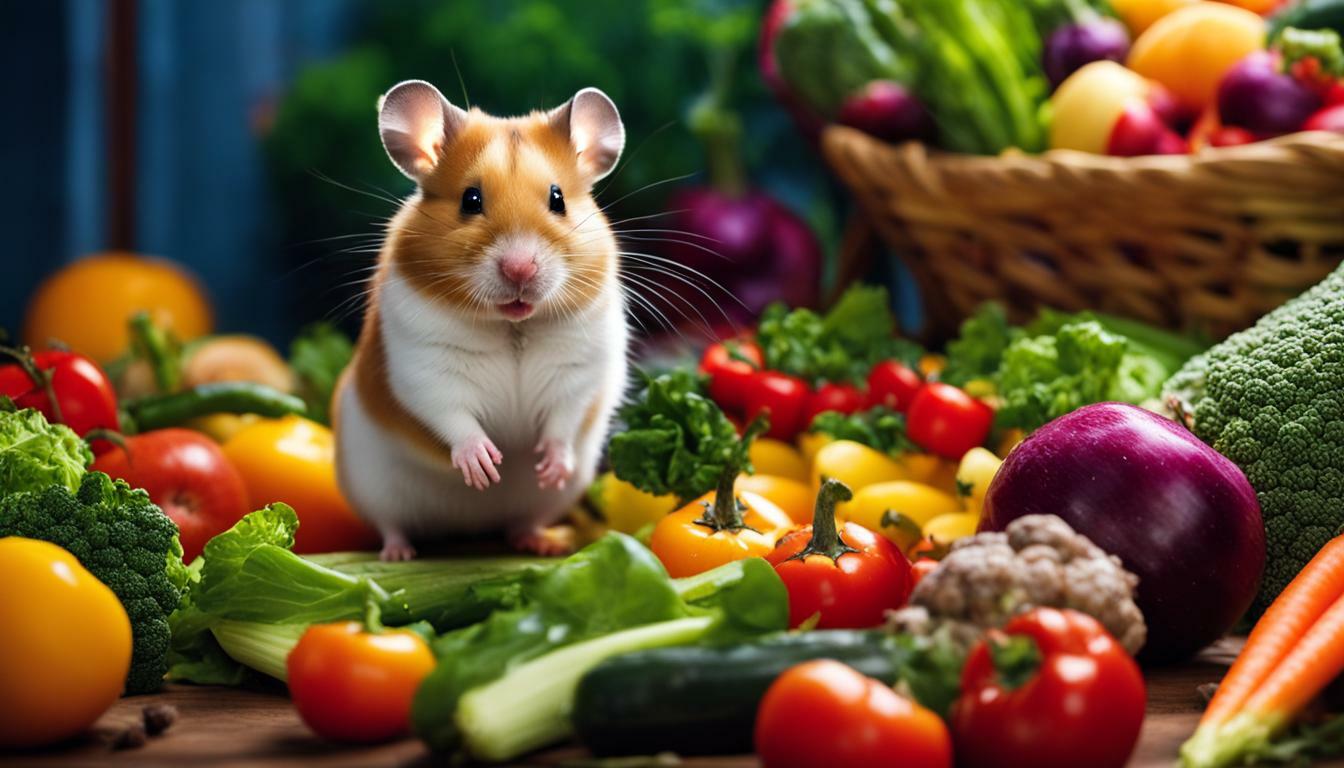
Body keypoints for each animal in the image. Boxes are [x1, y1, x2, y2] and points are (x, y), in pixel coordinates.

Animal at [332, 80, 629, 560]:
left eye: (558, 199)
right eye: (470, 200)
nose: (520, 269)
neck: (513, 324)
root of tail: (469, 530)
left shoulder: (582, 367)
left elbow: (565, 416)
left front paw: (550, 466)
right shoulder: (424, 366)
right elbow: (452, 413)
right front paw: (486, 470)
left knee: (520, 523)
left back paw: (541, 542)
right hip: (369, 487)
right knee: (390, 524)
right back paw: (398, 553)